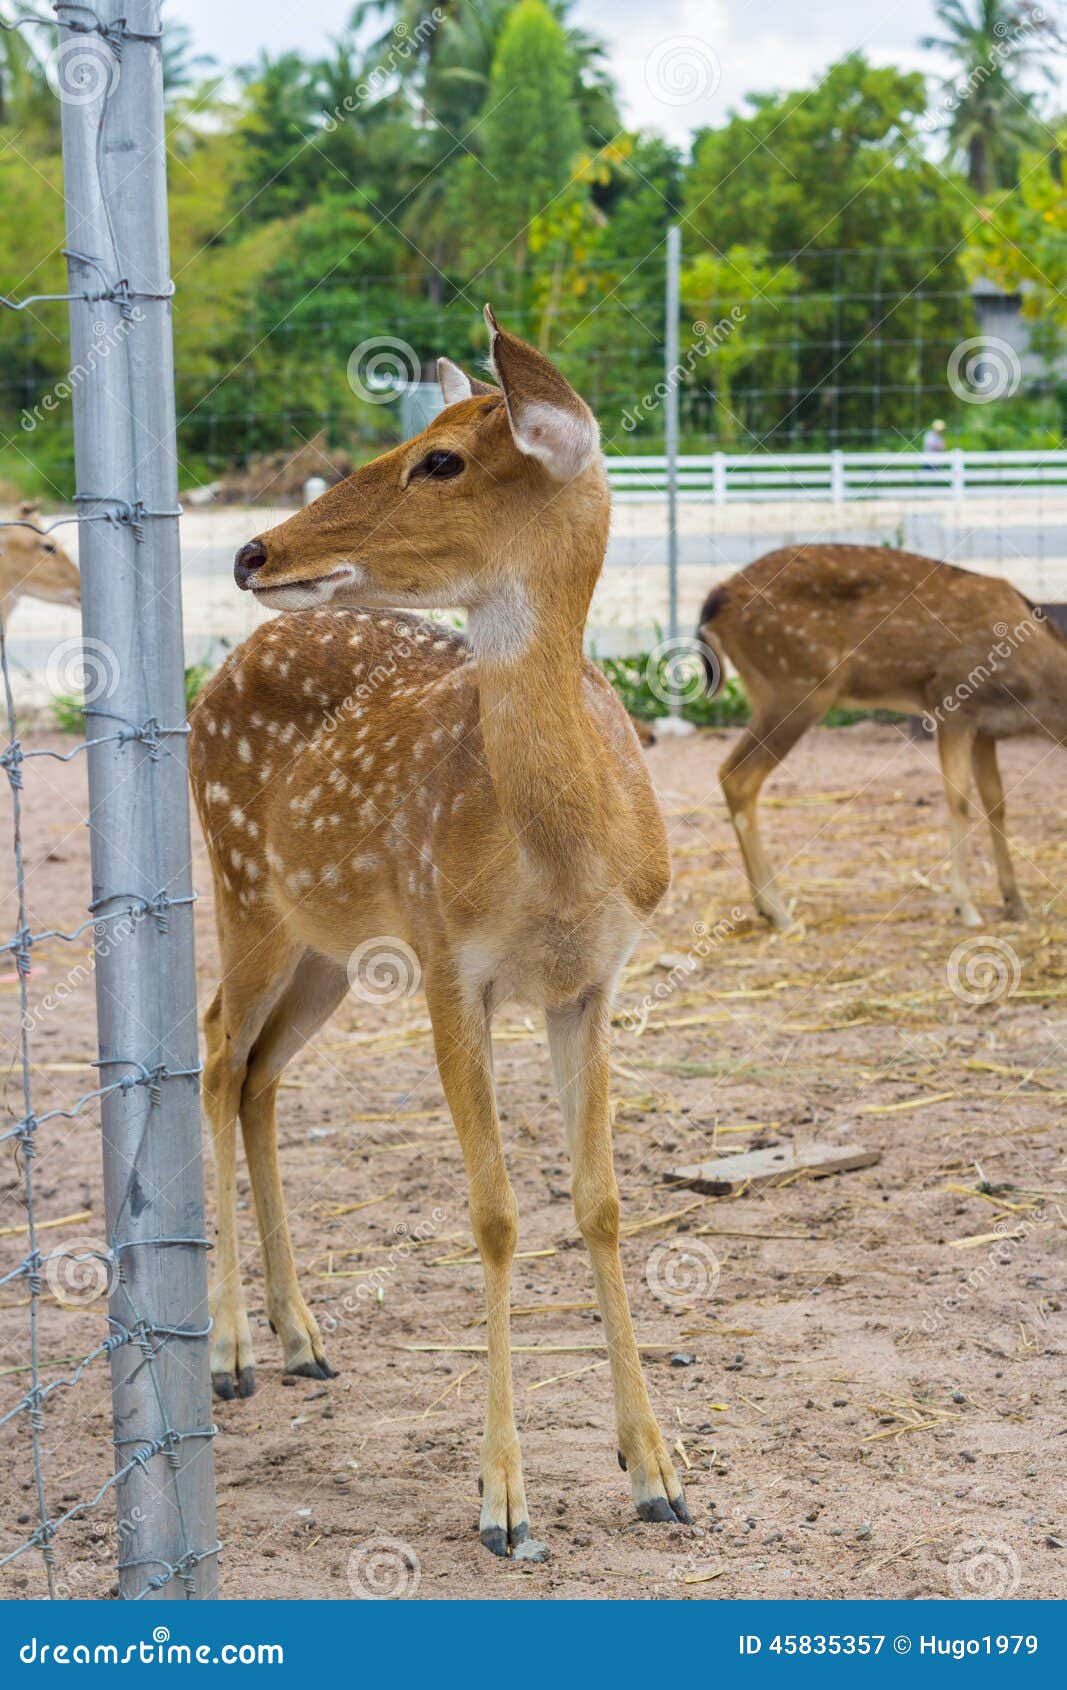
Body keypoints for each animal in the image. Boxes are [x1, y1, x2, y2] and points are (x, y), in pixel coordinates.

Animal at [188, 307, 690, 1562]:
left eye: (443, 459)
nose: (250, 552)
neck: (559, 856)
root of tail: (221, 665)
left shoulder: (589, 982)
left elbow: (599, 1200)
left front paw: (655, 1469)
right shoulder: (450, 967)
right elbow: (496, 1211)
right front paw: (503, 1502)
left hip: (328, 948)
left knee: (259, 1072)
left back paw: (302, 1337)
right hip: (244, 890)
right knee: (213, 1051)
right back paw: (228, 1352)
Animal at [697, 544, 1067, 932]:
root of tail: (718, 598)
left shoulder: (986, 729)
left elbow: (996, 802)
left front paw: (1016, 903)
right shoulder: (951, 701)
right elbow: (959, 799)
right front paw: (965, 907)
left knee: (730, 773)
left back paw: (764, 908)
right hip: (793, 687)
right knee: (738, 776)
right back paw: (780, 912)